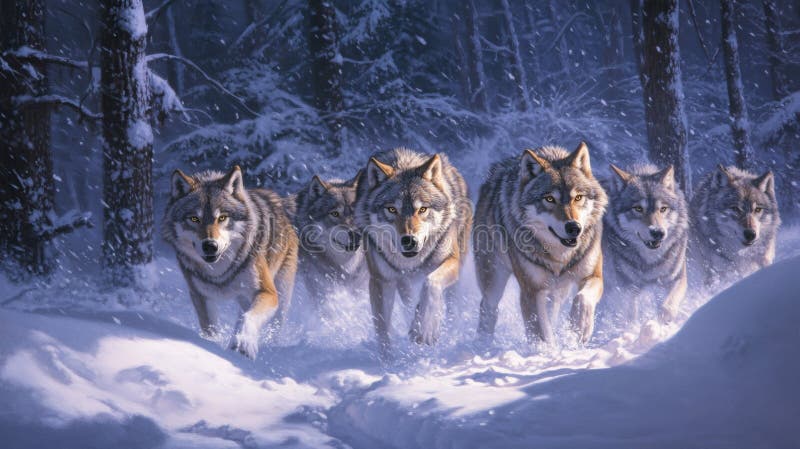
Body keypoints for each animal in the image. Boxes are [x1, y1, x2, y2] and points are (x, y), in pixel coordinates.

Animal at [163, 166, 298, 359]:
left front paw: (244, 343)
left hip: (281, 295)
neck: (219, 272)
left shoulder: (268, 293)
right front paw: (212, 347)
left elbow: (248, 317)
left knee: (272, 324)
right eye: (194, 219)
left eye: (222, 218)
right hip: (244, 299)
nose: (210, 246)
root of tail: (278, 201)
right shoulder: (200, 296)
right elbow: (210, 330)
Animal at [354, 148, 472, 353]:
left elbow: (430, 283)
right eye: (392, 209)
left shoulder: (450, 261)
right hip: (402, 283)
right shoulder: (381, 280)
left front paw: (425, 328)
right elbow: (382, 331)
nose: (409, 240)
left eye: (422, 209)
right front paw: (388, 358)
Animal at [474, 142, 607, 344]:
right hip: (494, 281)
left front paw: (580, 327)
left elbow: (582, 299)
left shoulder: (593, 276)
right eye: (550, 199)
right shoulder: (531, 291)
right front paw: (546, 351)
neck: (560, 256)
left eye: (578, 197)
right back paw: (483, 343)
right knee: (488, 308)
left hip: (557, 292)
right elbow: (541, 334)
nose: (574, 227)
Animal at [602, 164, 689, 324]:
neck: (649, 261)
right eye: (638, 208)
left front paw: (660, 323)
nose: (658, 232)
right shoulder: (627, 288)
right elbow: (630, 316)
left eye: (663, 209)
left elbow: (667, 308)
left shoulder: (677, 279)